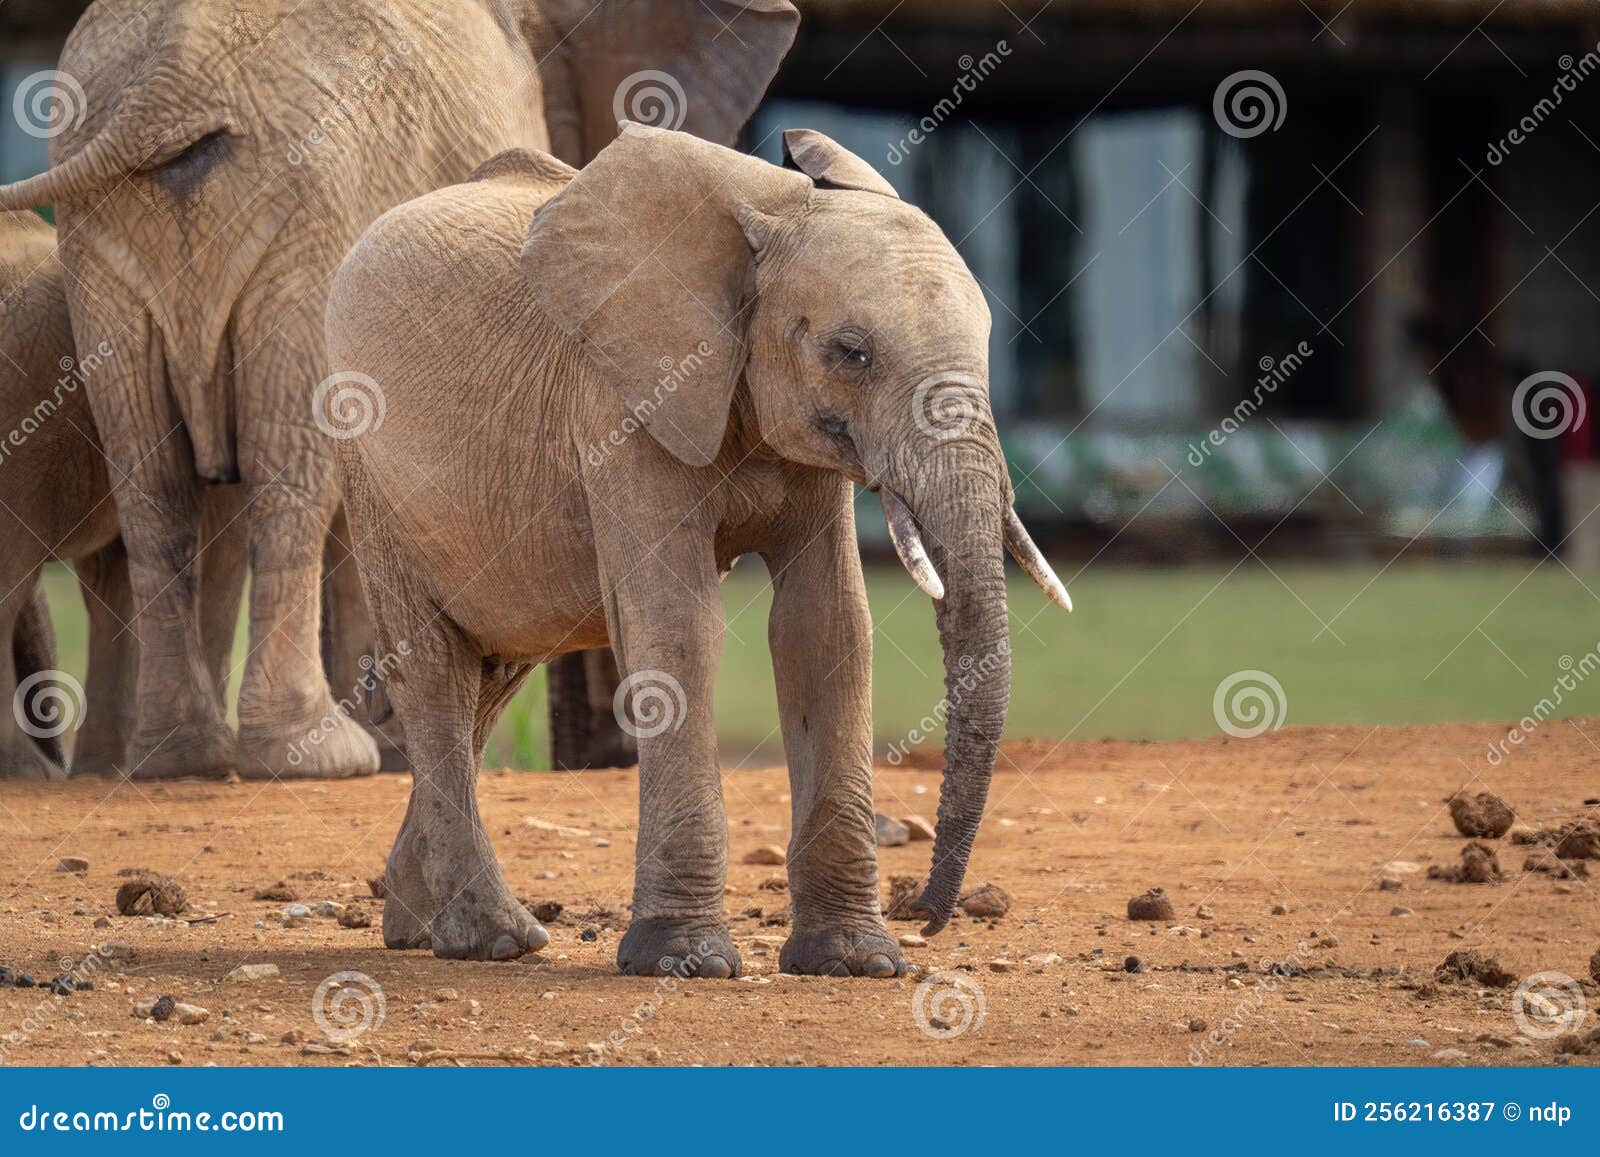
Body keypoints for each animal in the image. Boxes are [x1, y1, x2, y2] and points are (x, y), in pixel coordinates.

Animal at [324, 125, 1072, 967]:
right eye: (852, 352)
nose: (931, 917)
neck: (774, 212)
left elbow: (826, 626)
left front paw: (855, 960)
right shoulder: (620, 402)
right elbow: (678, 625)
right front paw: (684, 960)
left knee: (490, 670)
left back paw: (415, 926)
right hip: (366, 462)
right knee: (434, 669)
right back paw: (496, 939)